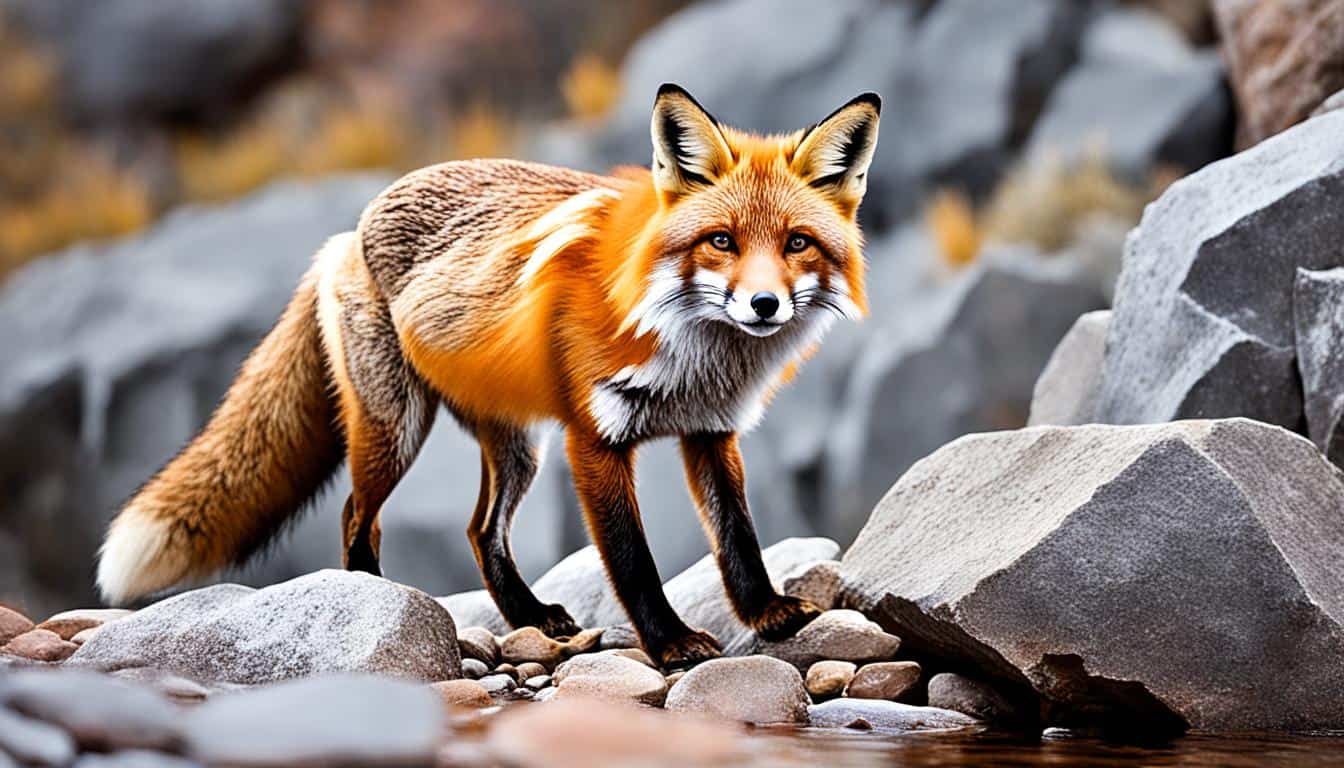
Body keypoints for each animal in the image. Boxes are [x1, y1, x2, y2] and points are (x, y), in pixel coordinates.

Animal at [95, 84, 880, 669]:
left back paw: (530, 616)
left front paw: (767, 614)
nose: (764, 305)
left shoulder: (710, 433)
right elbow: (633, 559)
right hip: (397, 430)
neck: (695, 358)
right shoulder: (593, 440)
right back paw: (368, 604)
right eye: (721, 241)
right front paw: (670, 645)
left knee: (480, 533)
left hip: (517, 449)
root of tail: (354, 225)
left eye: (797, 244)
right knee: (356, 516)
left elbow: (737, 537)